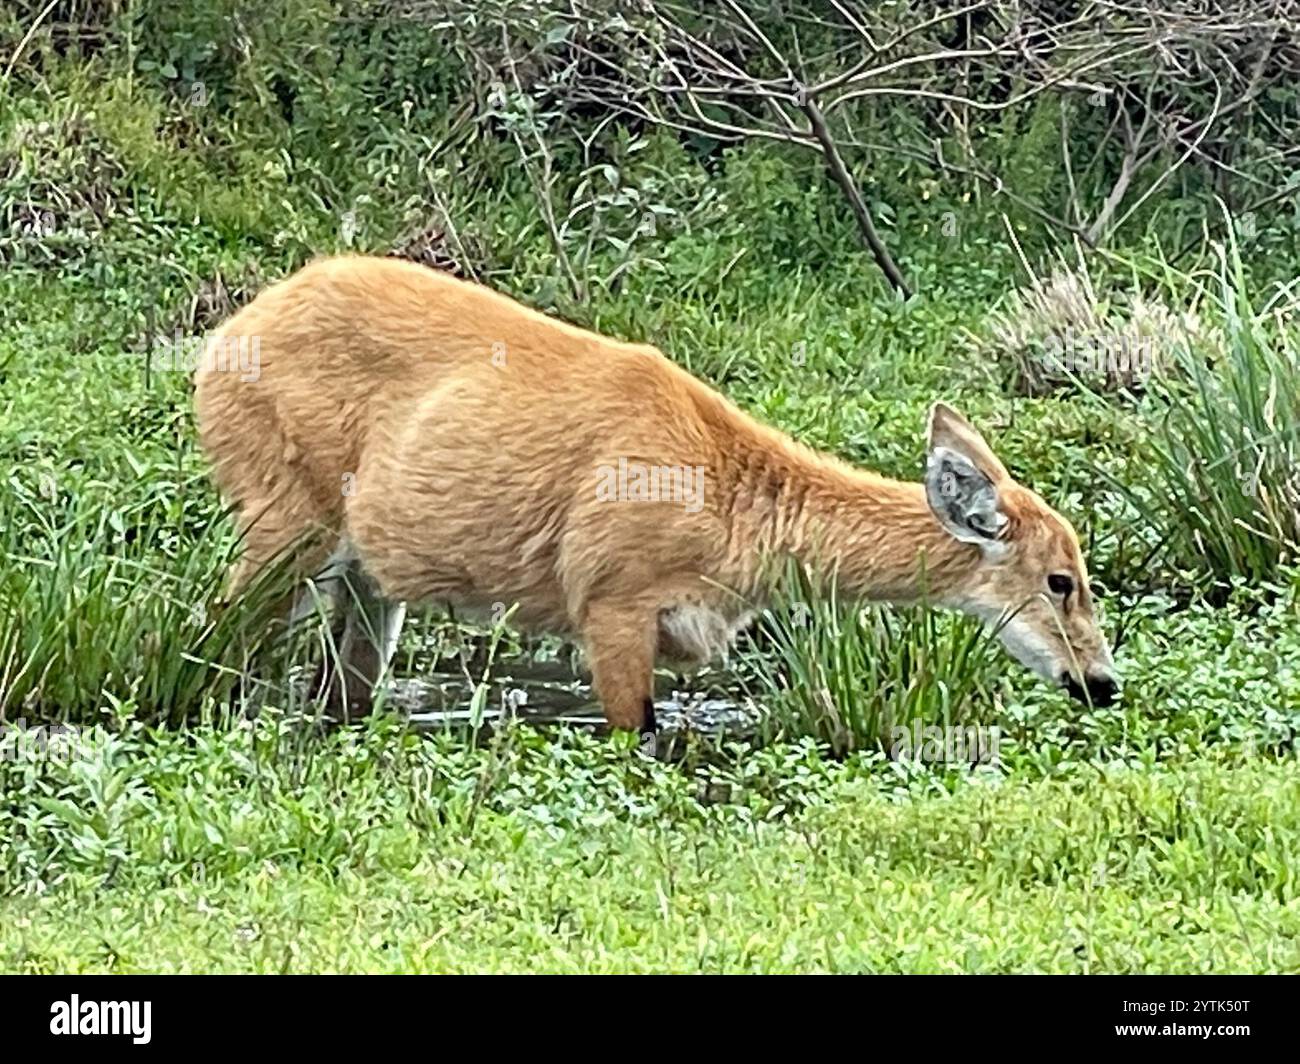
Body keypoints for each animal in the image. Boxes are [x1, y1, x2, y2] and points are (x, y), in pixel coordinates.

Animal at [194, 255, 1120, 741]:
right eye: (1061, 579)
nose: (1100, 682)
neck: (733, 502)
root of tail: (220, 344)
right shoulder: (612, 602)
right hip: (285, 520)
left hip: (369, 578)